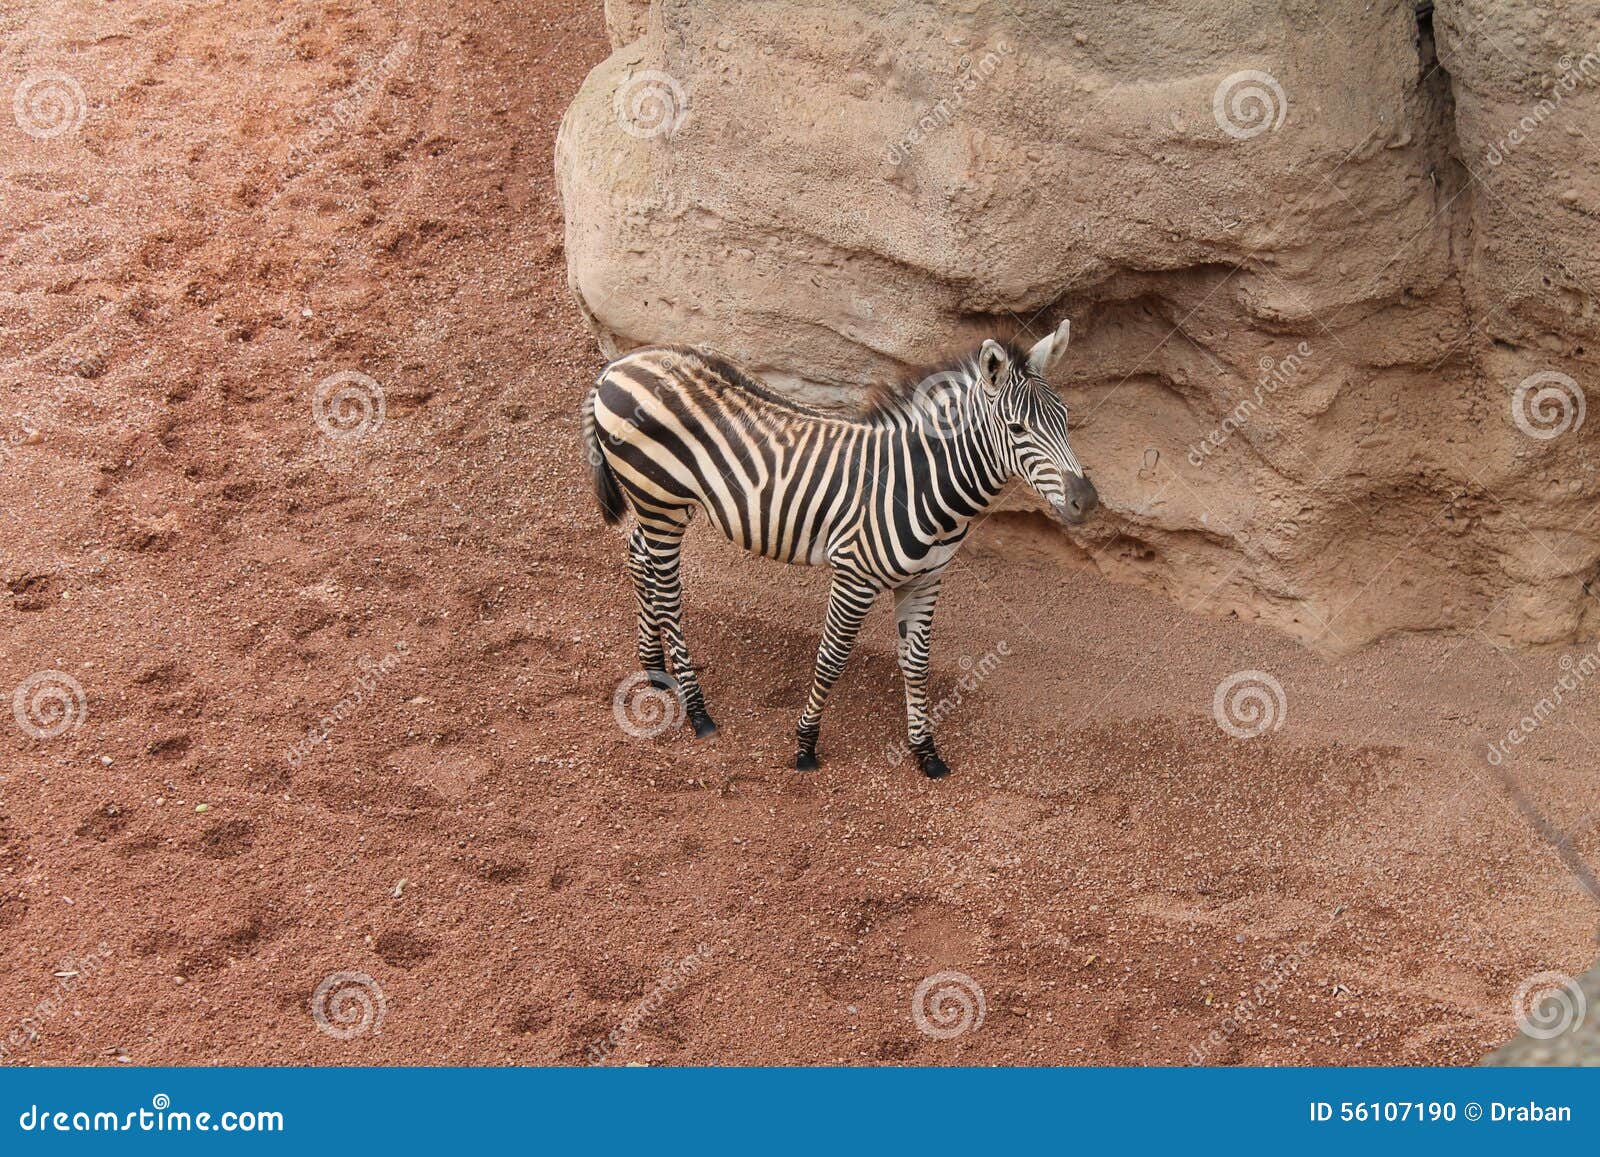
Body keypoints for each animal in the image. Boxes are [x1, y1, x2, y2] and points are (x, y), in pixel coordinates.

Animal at [581, 319, 1098, 778]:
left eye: (1065, 419)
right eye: (1017, 429)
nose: (1086, 501)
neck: (920, 483)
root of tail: (623, 363)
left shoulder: (927, 580)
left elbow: (917, 664)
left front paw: (925, 752)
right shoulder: (854, 575)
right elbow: (832, 657)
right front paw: (805, 745)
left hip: (663, 506)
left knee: (640, 557)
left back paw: (654, 670)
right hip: (660, 501)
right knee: (668, 593)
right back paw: (697, 710)